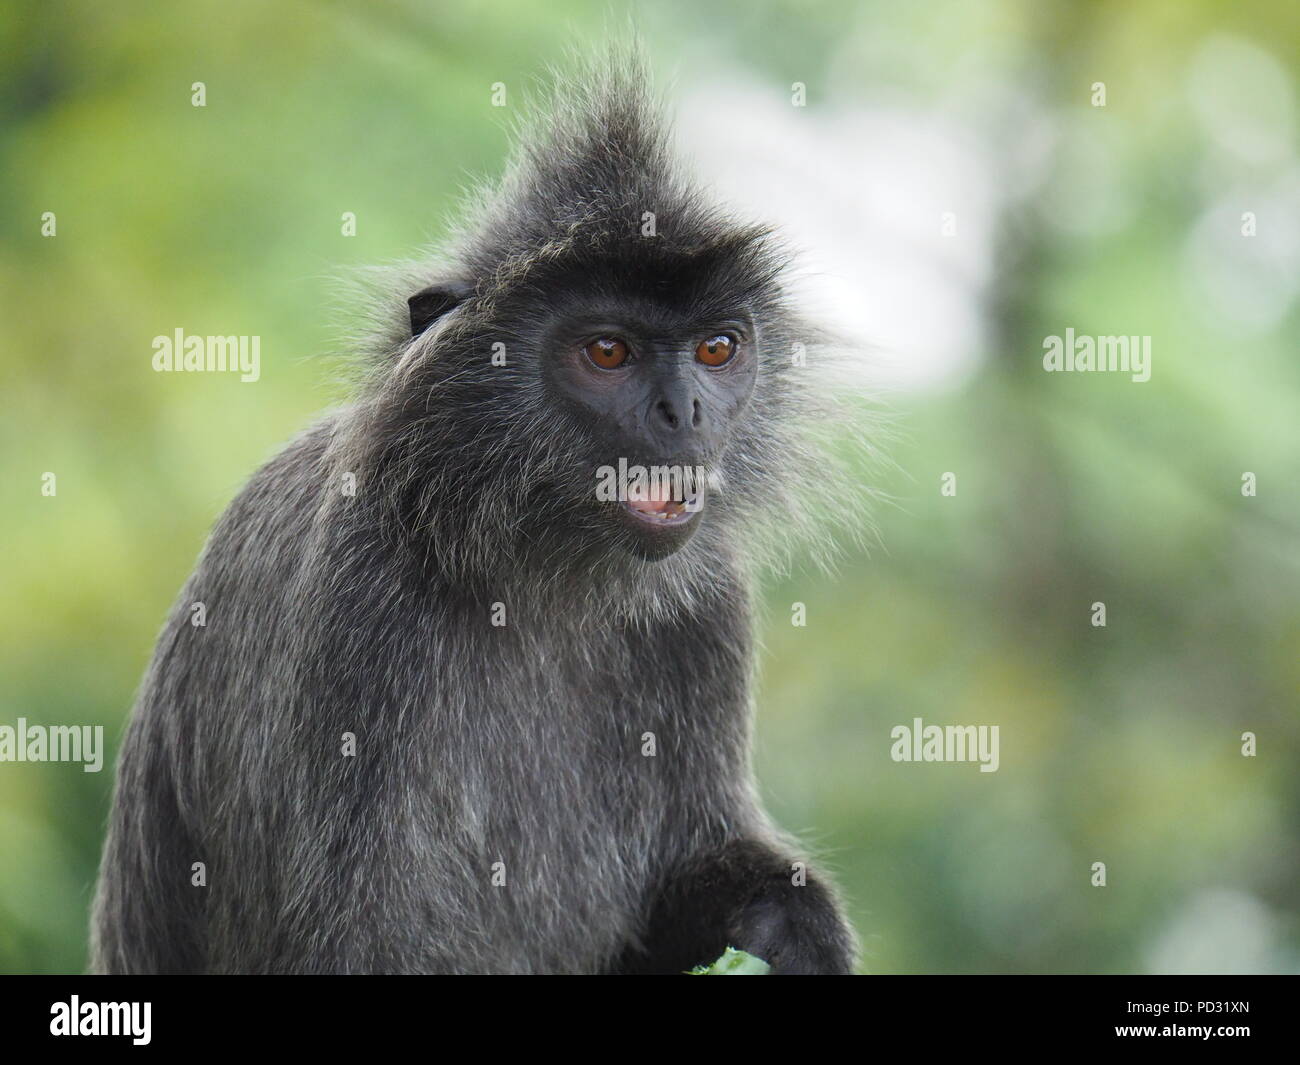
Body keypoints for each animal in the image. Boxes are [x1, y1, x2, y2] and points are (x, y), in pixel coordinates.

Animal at [90, 62, 863, 975]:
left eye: (717, 348)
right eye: (608, 352)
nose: (687, 412)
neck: (532, 567)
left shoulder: (709, 604)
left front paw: (785, 921)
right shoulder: (356, 598)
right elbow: (366, 940)